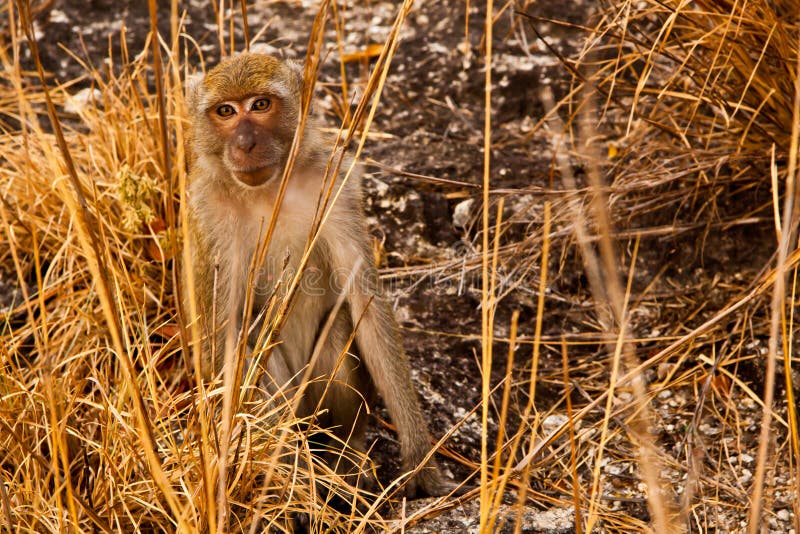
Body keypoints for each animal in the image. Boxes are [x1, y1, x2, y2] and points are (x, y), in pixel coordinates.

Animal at [182, 53, 455, 498]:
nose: (245, 144)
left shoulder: (336, 184)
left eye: (260, 105)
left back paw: (344, 454)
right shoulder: (209, 211)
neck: (268, 190)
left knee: (338, 330)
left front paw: (419, 458)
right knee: (254, 343)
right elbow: (225, 332)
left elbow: (366, 304)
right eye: (225, 112)